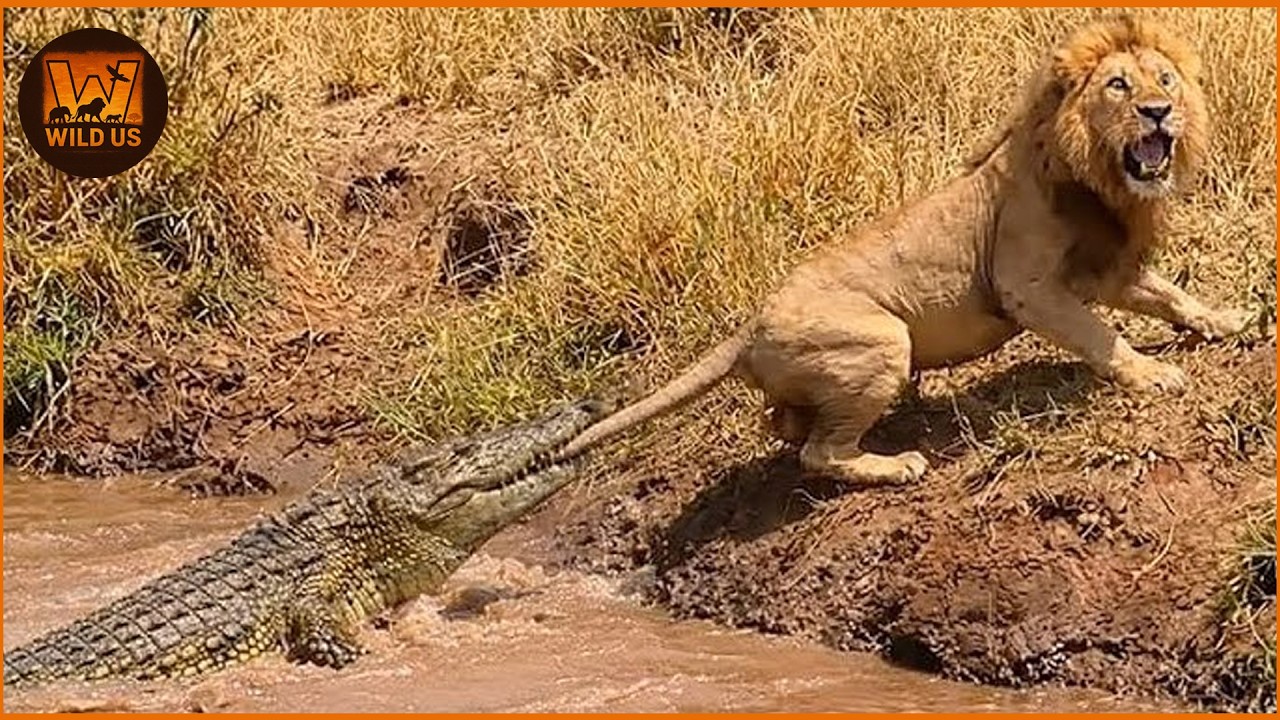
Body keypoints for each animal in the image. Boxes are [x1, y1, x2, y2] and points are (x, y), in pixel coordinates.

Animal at [559, 16, 1251, 485]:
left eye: (1165, 79)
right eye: (1117, 86)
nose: (1160, 112)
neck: (1099, 176)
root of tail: (749, 326)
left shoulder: (1102, 267)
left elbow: (1172, 296)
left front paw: (1230, 319)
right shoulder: (1027, 285)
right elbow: (1101, 336)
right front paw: (1153, 375)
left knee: (784, 428)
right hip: (883, 341)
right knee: (818, 452)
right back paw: (896, 465)